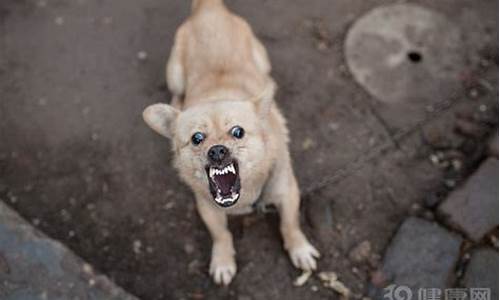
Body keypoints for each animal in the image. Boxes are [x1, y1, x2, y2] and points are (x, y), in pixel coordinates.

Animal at [143, 0, 320, 286]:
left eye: (238, 132)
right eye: (197, 138)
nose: (217, 151)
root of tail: (209, 8)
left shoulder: (288, 193)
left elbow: (290, 224)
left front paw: (299, 248)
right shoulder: (207, 208)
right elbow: (221, 235)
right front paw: (223, 261)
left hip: (262, 59)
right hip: (175, 75)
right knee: (177, 92)